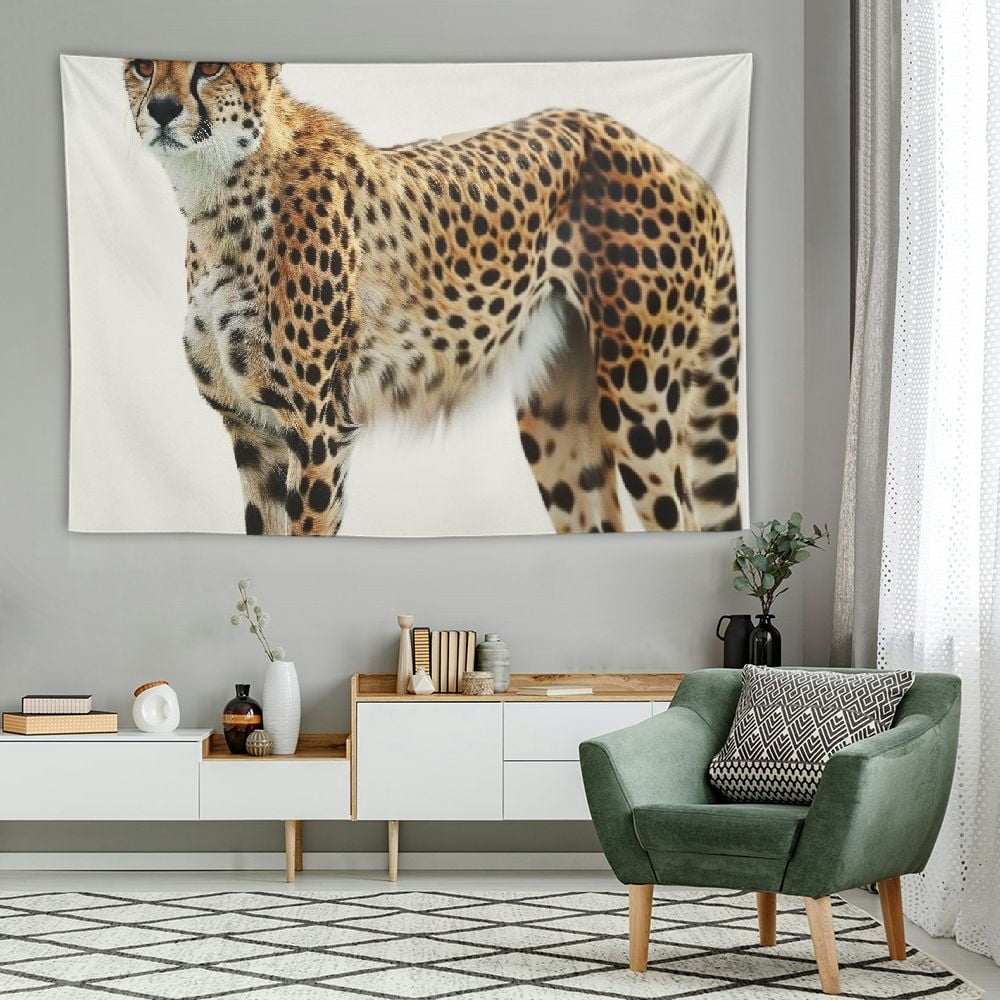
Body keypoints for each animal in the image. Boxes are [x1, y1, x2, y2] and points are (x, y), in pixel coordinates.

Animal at [123, 59, 741, 535]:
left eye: (211, 68)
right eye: (142, 66)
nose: (162, 109)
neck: (216, 195)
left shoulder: (318, 430)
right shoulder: (255, 435)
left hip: (640, 397)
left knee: (682, 521)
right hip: (557, 413)